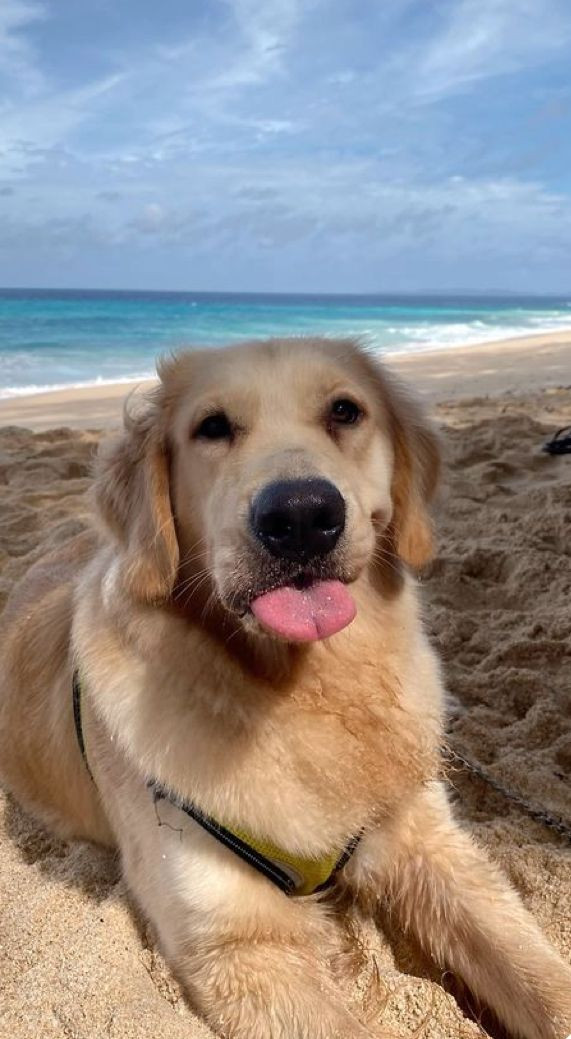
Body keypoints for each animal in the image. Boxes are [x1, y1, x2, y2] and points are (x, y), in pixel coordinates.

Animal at [1, 337, 570, 1039]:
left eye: (345, 411)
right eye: (212, 426)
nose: (301, 516)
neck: (301, 691)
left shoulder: (432, 846)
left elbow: (534, 973)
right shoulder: (238, 946)